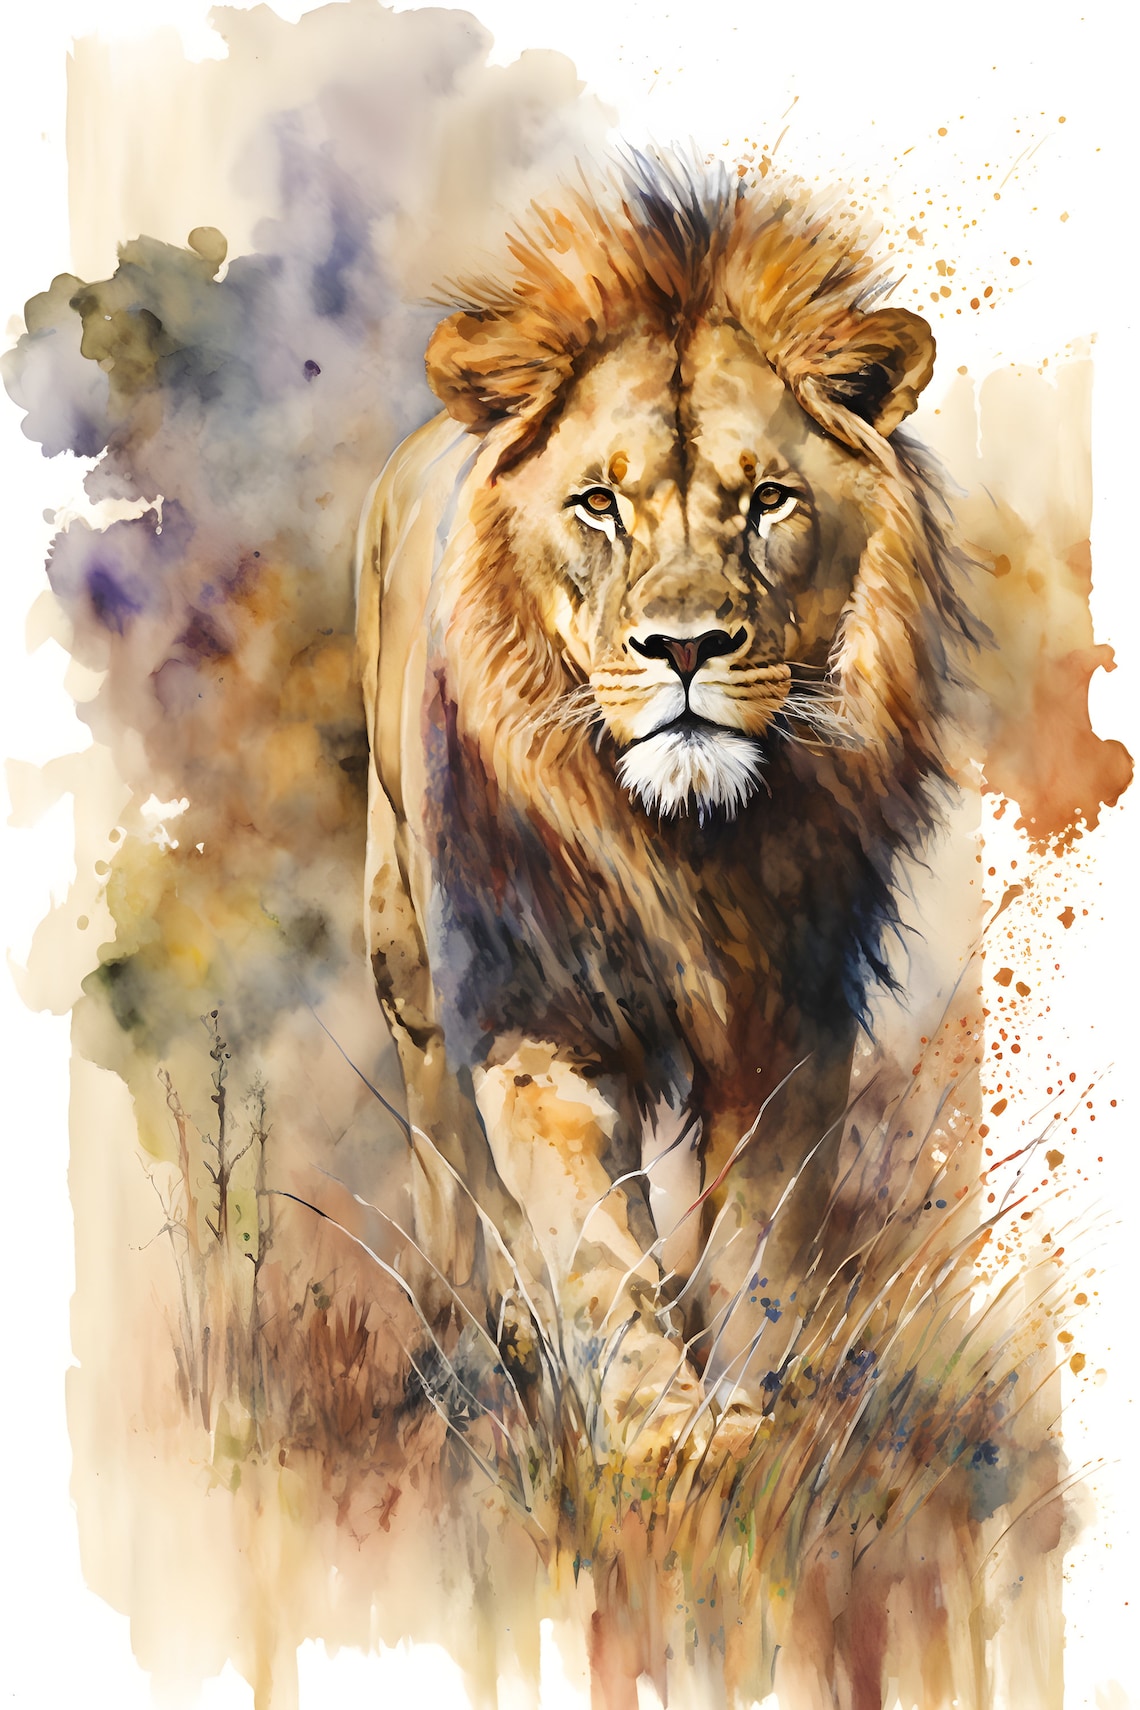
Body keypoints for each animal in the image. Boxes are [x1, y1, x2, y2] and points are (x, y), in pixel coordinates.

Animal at [355, 152, 976, 1464]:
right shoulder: (532, 1009)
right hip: (404, 962)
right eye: (599, 504)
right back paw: (475, 1349)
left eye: (770, 502)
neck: (682, 845)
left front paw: (760, 1404)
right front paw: (658, 1432)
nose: (685, 647)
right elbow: (587, 1237)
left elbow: (763, 1231)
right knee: (446, 1166)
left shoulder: (797, 1005)